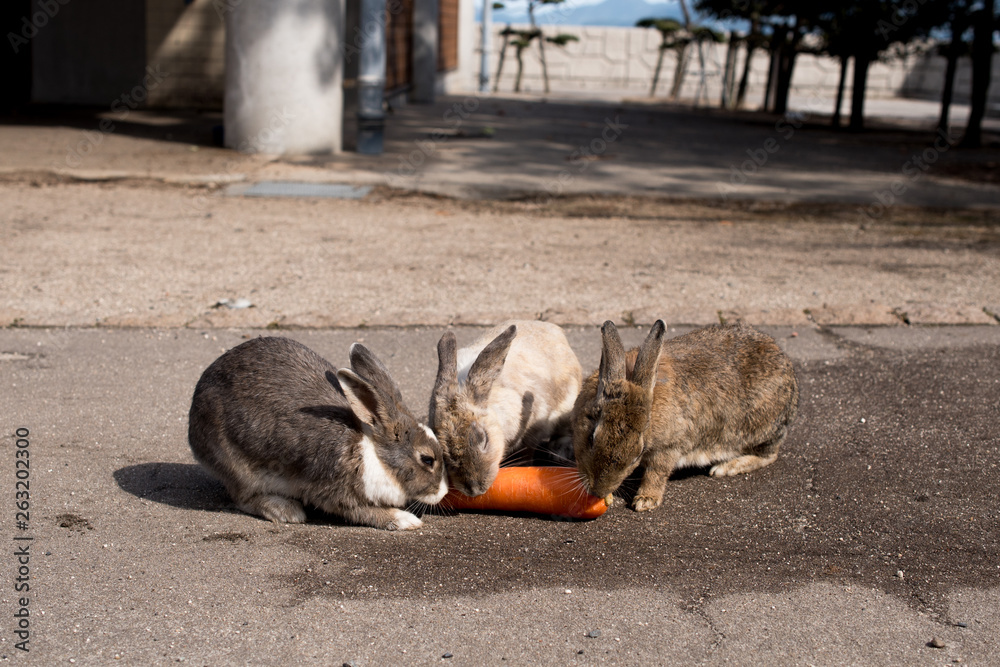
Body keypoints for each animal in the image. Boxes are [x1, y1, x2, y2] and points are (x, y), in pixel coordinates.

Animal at [188, 336, 448, 531]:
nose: (443, 492)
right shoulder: (335, 493)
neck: (373, 453)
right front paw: (405, 520)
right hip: (239, 468)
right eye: (427, 459)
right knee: (242, 498)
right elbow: (365, 512)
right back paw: (286, 511)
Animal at [429, 320, 583, 497]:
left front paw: (522, 467)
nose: (474, 489)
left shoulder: (535, 426)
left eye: (484, 439)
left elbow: (527, 449)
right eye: (442, 448)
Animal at [571, 319, 798, 512]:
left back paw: (726, 467)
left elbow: (657, 472)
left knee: (769, 455)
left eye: (638, 453)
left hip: (760, 428)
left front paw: (646, 501)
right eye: (591, 438)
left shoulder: (670, 446)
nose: (597, 491)